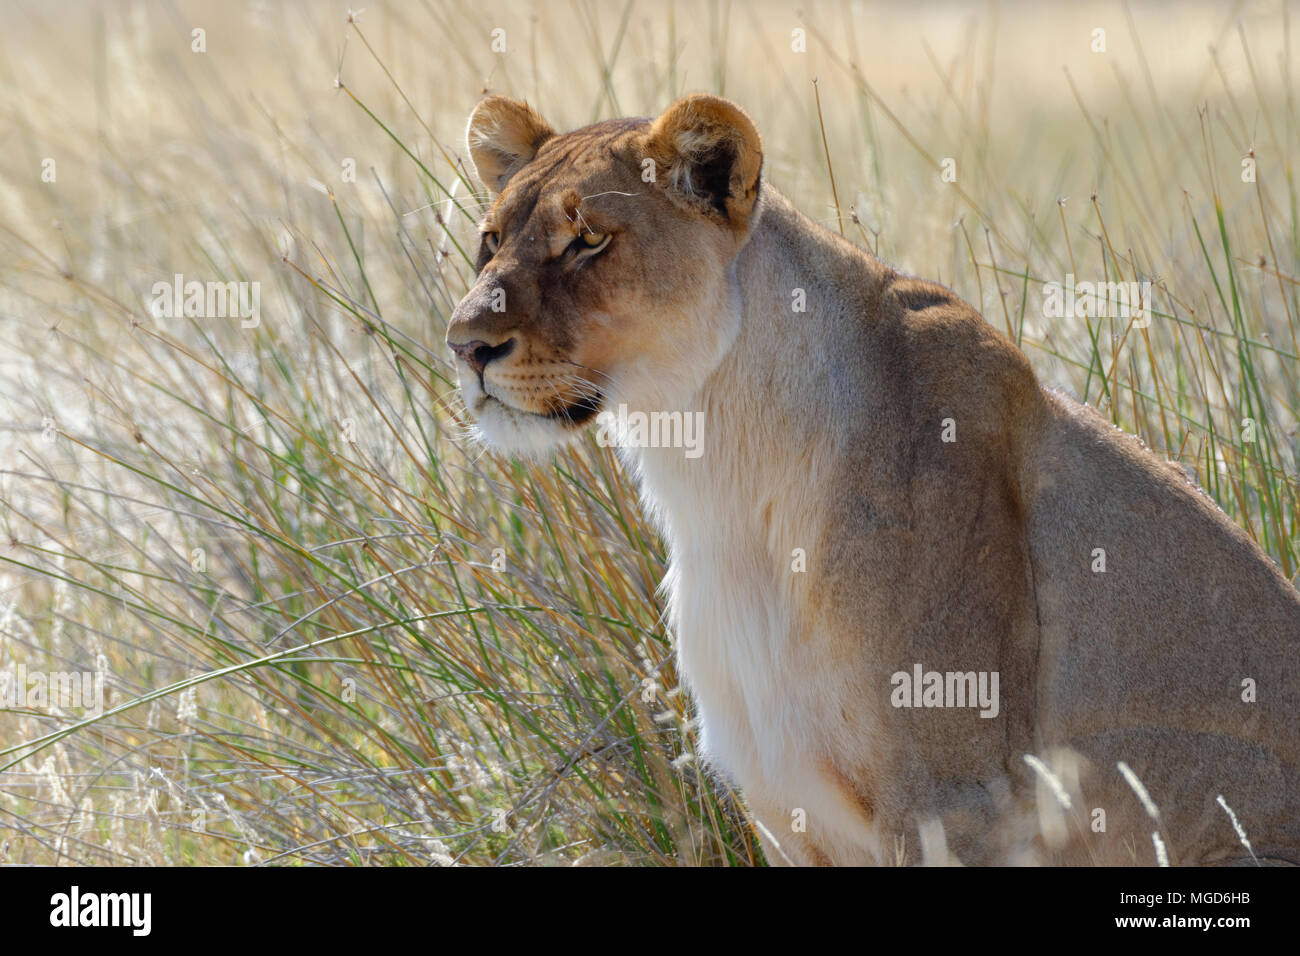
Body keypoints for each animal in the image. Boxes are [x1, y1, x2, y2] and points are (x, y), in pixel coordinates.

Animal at [446, 92, 1300, 865]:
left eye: (588, 239)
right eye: (489, 240)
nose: (465, 344)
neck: (714, 467)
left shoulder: (953, 799)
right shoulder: (783, 807)